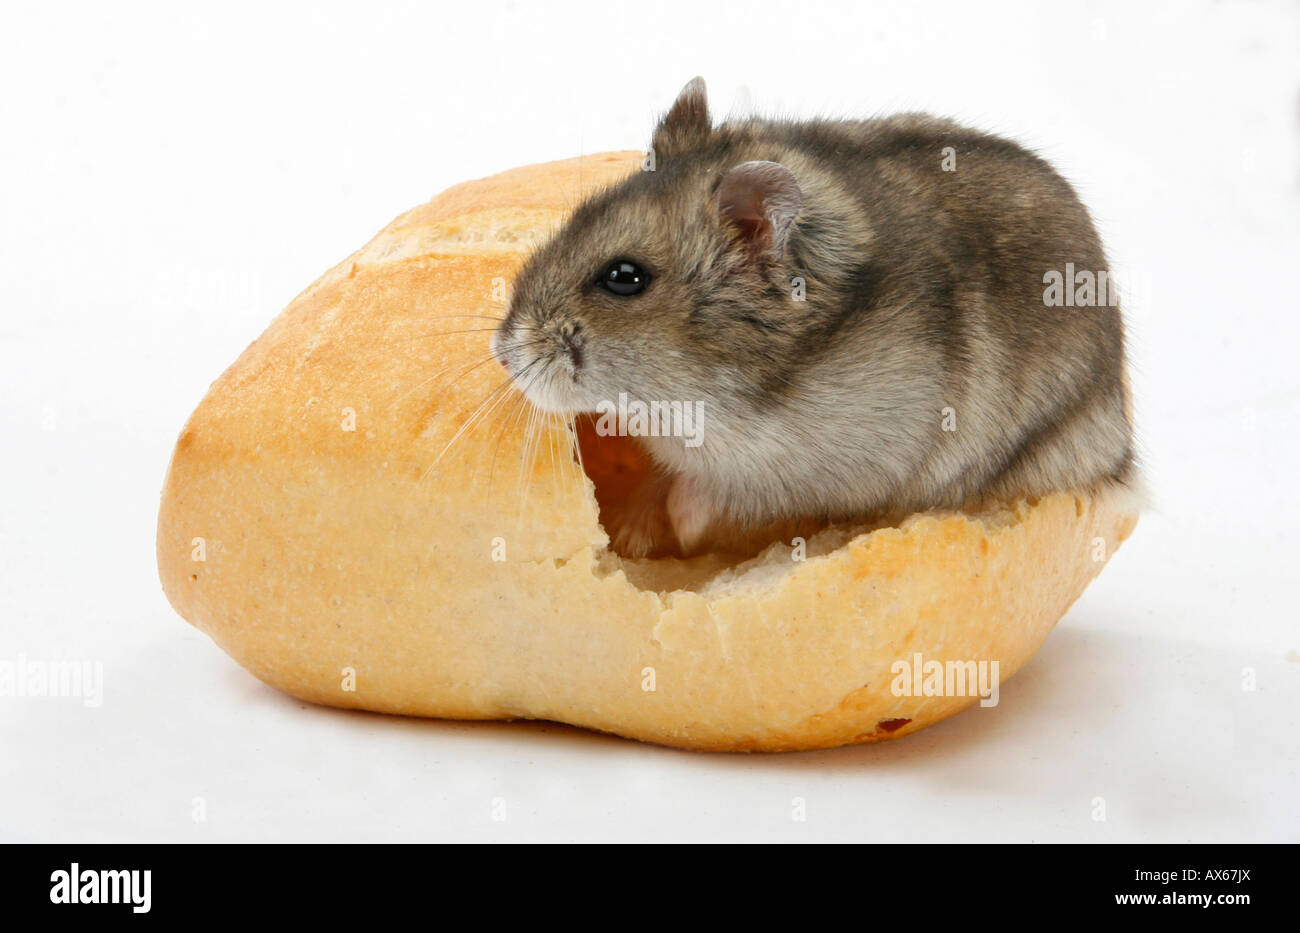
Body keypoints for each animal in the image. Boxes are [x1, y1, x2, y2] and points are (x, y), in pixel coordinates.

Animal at [491, 77, 1136, 557]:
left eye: (624, 277)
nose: (503, 351)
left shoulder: (833, 464)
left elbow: (710, 493)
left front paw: (672, 524)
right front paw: (631, 531)